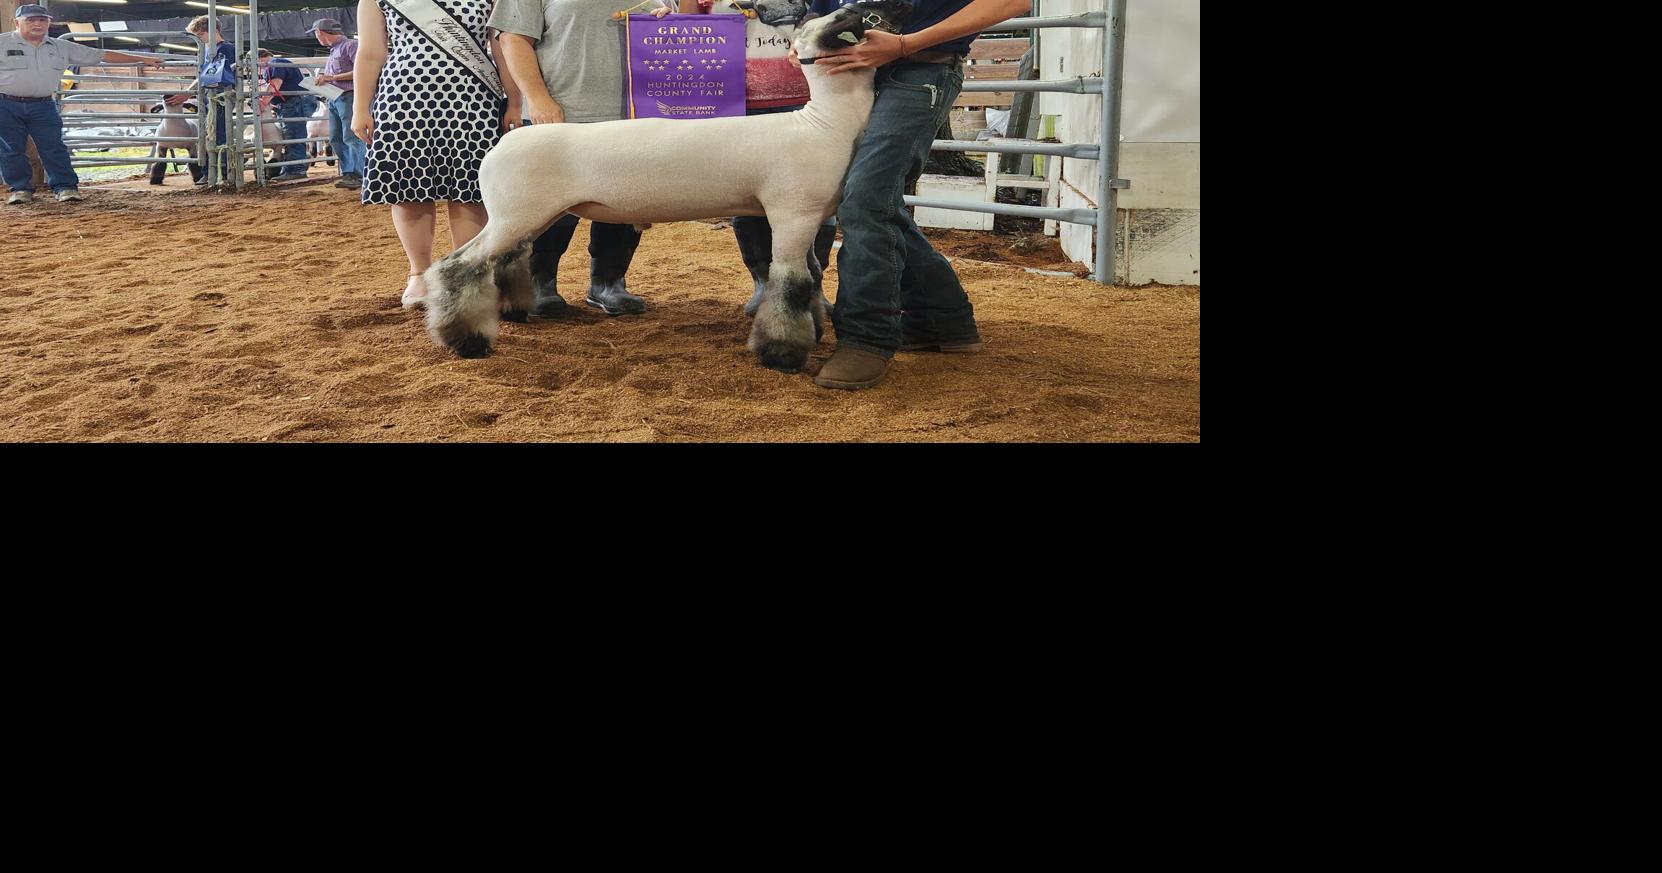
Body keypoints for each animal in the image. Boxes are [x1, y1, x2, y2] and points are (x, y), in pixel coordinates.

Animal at [422, 0, 914, 372]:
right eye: (836, 17)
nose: (882, 8)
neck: (823, 123)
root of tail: (501, 144)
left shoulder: (810, 216)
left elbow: (812, 277)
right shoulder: (792, 211)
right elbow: (792, 284)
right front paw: (782, 355)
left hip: (530, 213)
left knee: (504, 260)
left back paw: (514, 314)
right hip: (515, 212)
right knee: (457, 266)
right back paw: (467, 341)